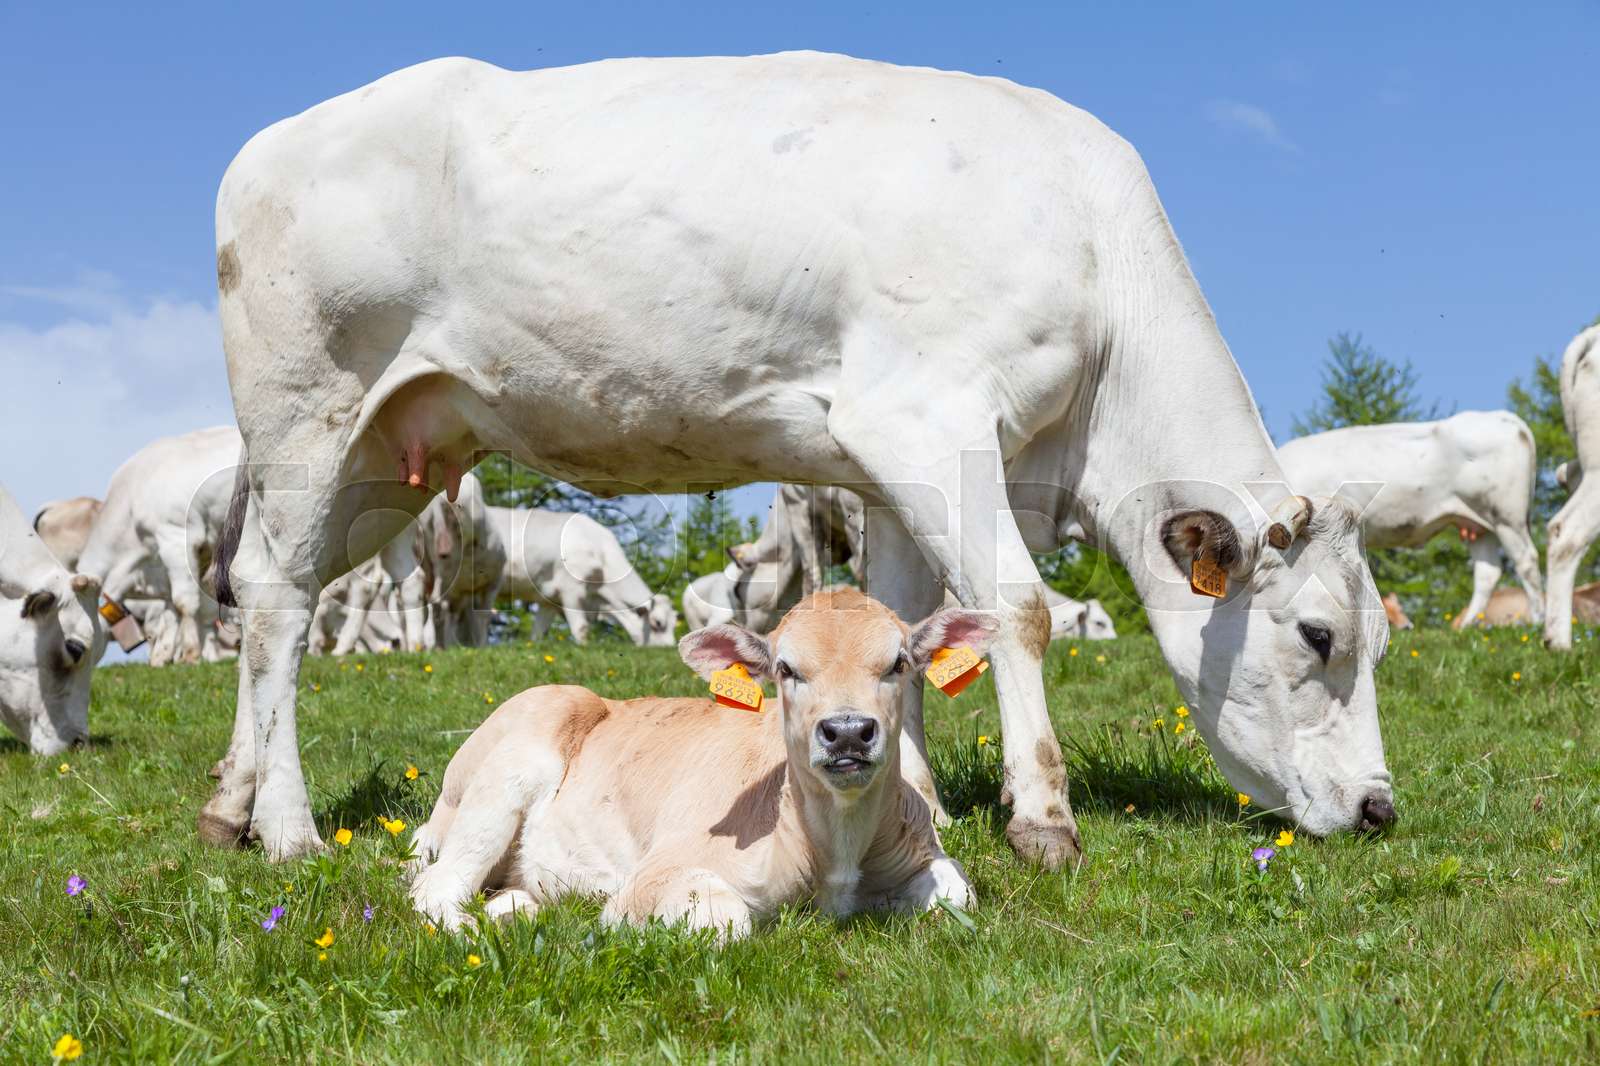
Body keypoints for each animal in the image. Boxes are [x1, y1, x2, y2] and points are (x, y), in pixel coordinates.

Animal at [408, 588, 984, 936]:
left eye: (898, 663)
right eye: (785, 669)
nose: (846, 732)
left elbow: (958, 891)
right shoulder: (655, 875)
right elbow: (726, 917)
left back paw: (516, 907)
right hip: (506, 775)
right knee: (434, 886)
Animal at [493, 506, 676, 646]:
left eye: (674, 624)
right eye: (657, 623)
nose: (668, 648)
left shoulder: (549, 599)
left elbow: (538, 633)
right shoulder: (571, 590)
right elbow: (581, 628)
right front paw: (583, 648)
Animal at [1277, 411, 1544, 630]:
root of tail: (1505, 418)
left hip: (1507, 517)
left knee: (1526, 561)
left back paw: (1536, 621)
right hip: (1479, 525)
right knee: (1488, 572)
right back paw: (1466, 627)